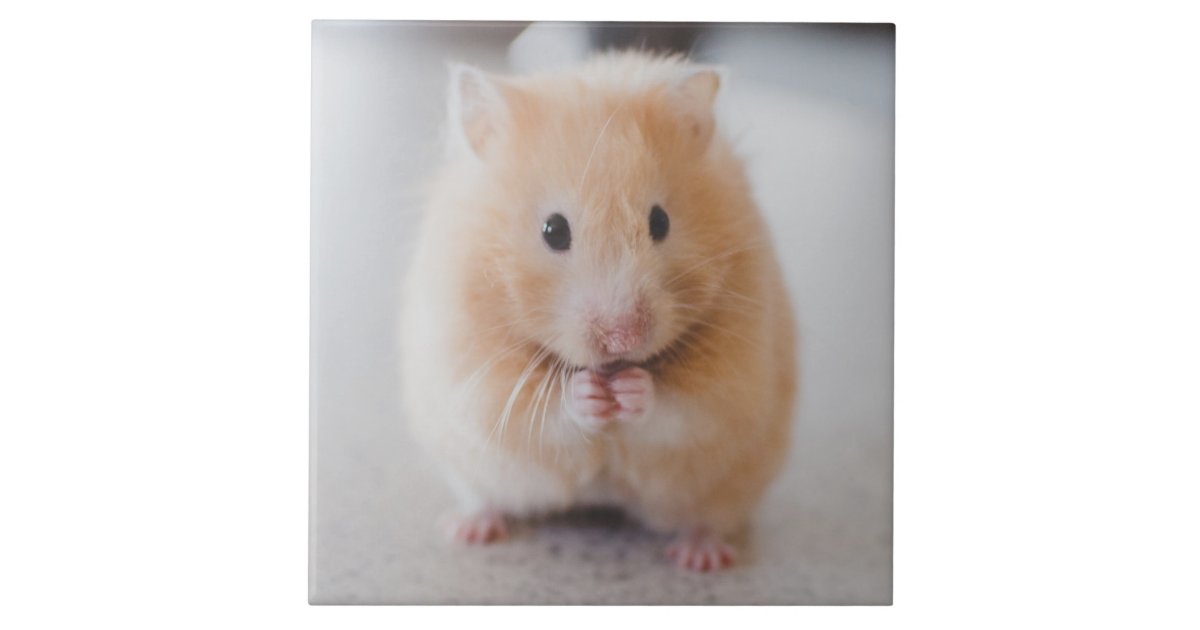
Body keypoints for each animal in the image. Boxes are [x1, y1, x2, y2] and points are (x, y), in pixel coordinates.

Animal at [399, 50, 796, 572]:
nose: (623, 338)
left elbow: (681, 408)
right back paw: (469, 529)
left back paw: (701, 557)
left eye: (660, 222)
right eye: (553, 230)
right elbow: (541, 411)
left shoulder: (734, 378)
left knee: (706, 518)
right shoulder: (474, 373)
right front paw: (588, 393)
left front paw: (631, 390)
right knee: (487, 498)